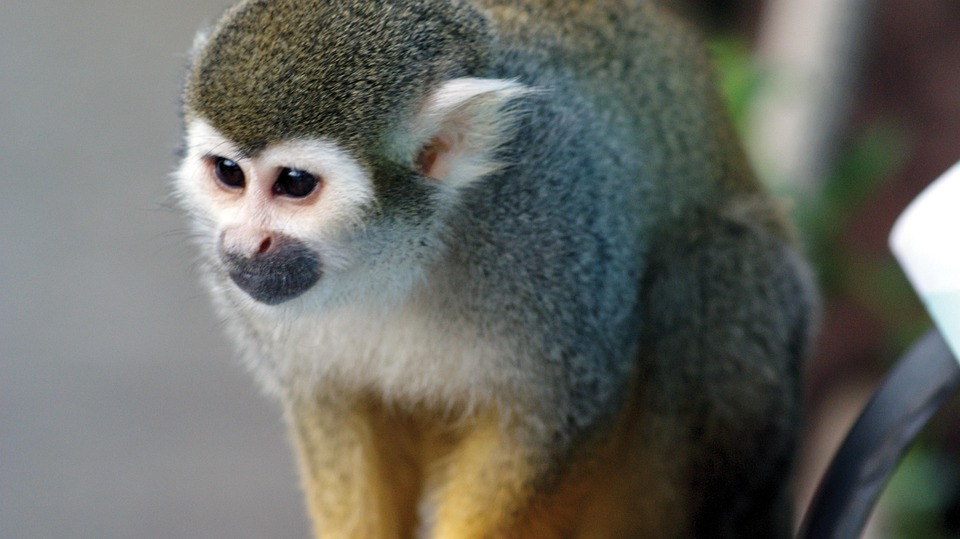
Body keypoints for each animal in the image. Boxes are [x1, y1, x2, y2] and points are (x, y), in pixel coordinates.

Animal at [174, 0, 817, 537]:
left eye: (294, 184)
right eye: (229, 174)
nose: (245, 244)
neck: (406, 251)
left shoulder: (559, 228)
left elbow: (553, 420)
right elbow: (335, 412)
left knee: (713, 265)